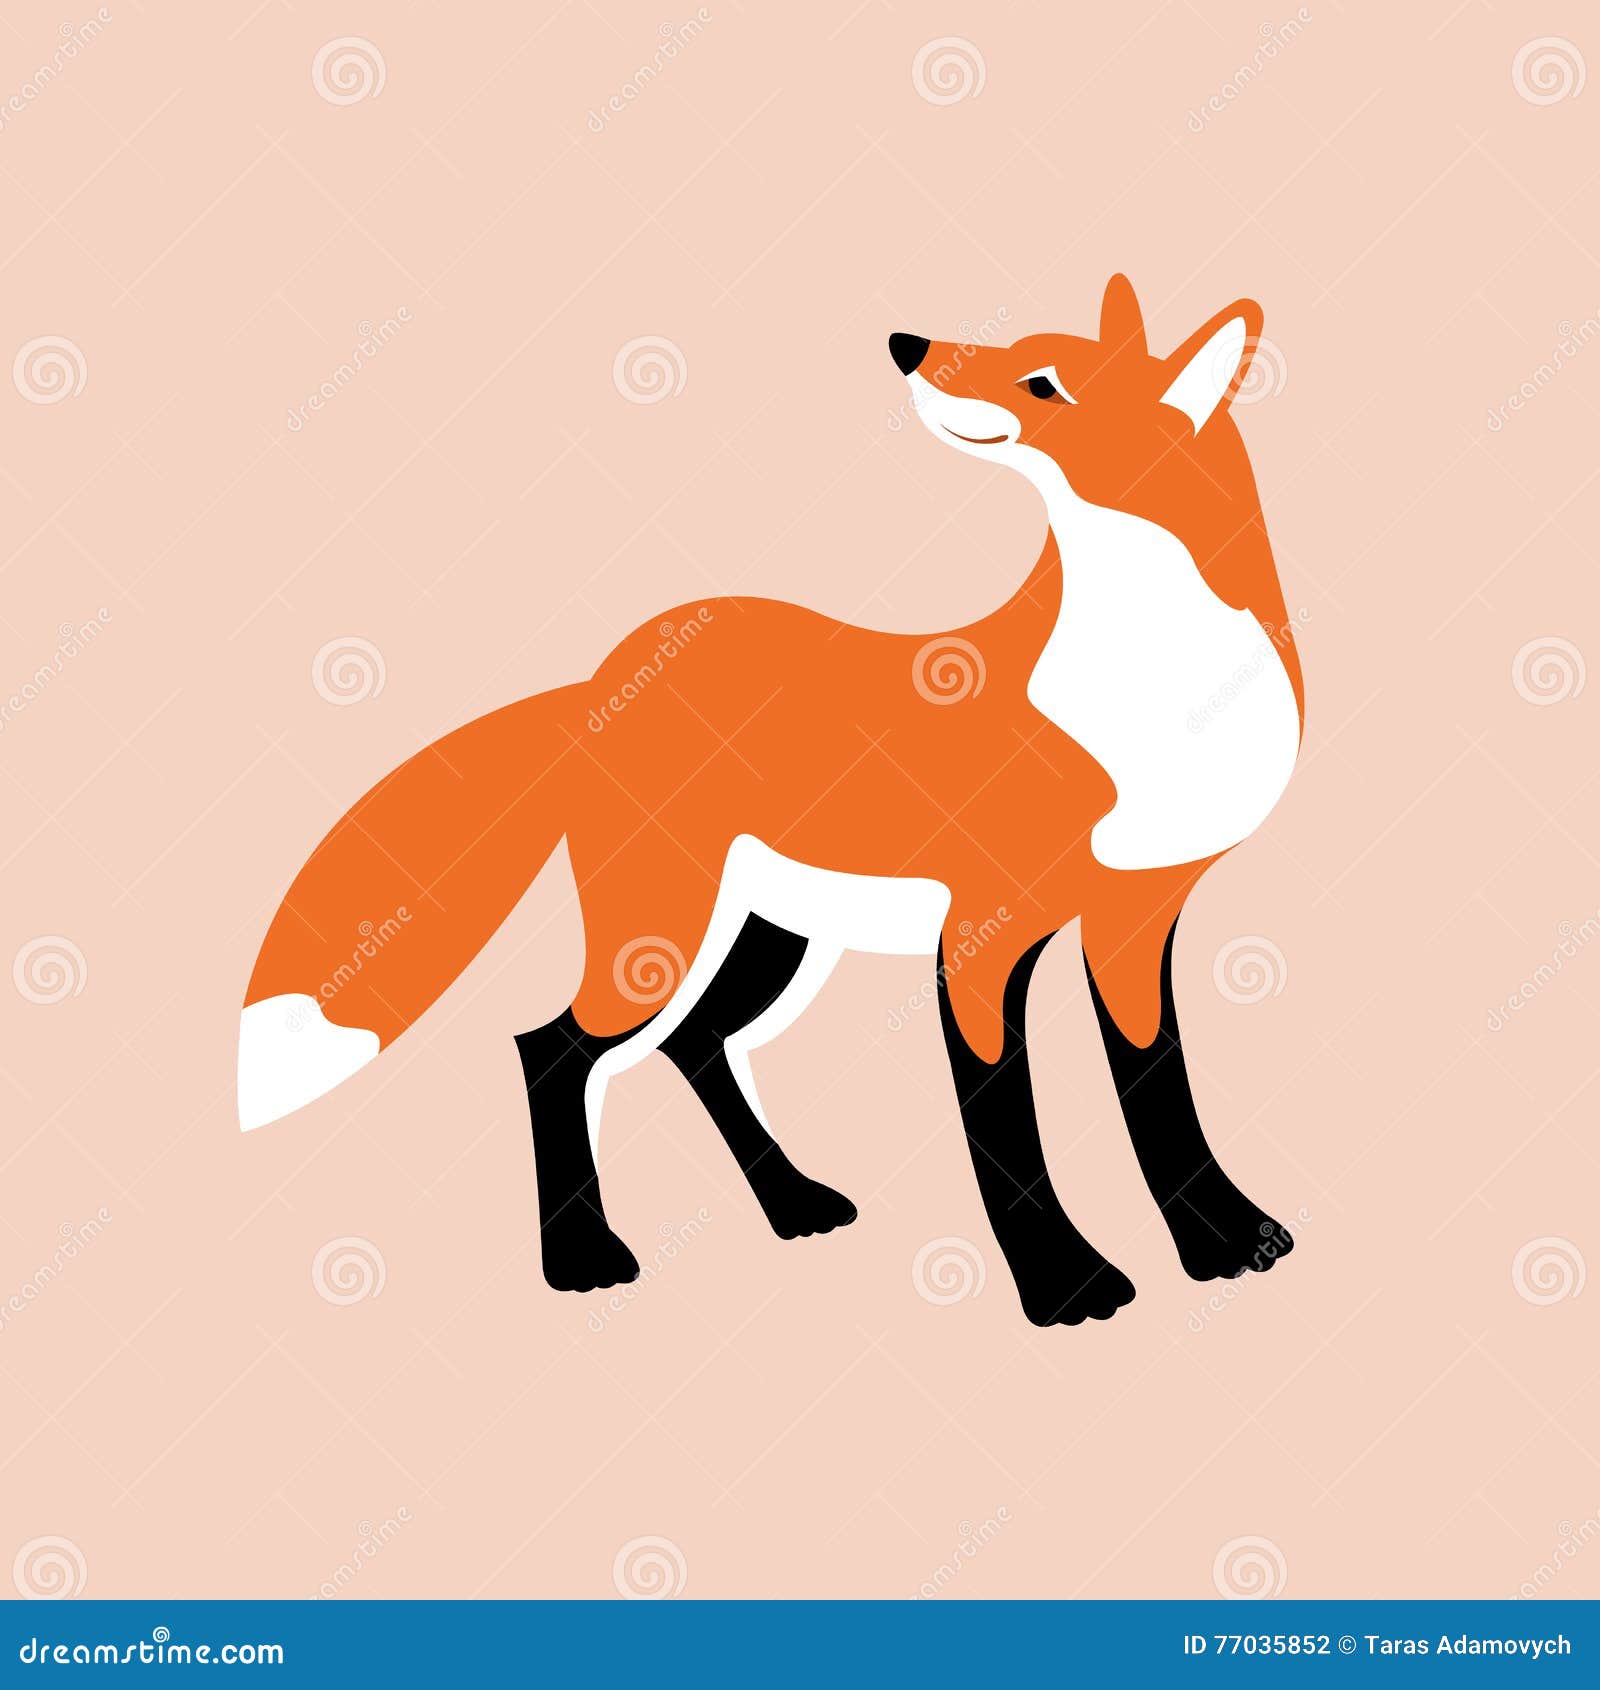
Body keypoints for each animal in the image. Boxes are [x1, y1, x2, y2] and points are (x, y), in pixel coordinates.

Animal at [239, 275, 1303, 1327]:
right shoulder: (982, 933)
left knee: (697, 1042)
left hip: (772, 931)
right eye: (1019, 359)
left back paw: (790, 1203)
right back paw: (581, 1256)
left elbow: (1161, 1098)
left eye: (1044, 381)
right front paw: (1062, 1284)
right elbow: (1008, 1124)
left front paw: (1226, 1241)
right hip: (660, 932)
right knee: (554, 1047)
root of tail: (602, 680)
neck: (1151, 690)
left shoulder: (1136, 918)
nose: (907, 346)